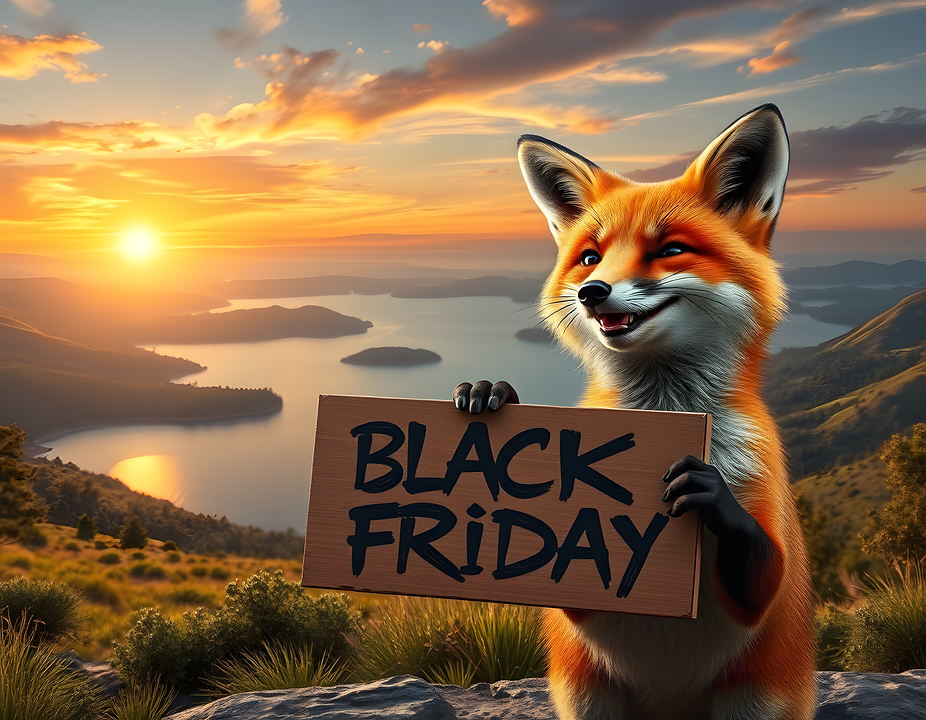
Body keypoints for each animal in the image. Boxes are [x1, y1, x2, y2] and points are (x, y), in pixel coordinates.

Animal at [453, 105, 816, 719]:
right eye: (590, 258)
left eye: (670, 249)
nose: (593, 291)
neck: (665, 409)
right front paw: (492, 394)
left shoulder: (768, 557)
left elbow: (764, 574)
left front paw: (708, 490)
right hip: (590, 693)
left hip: (752, 698)